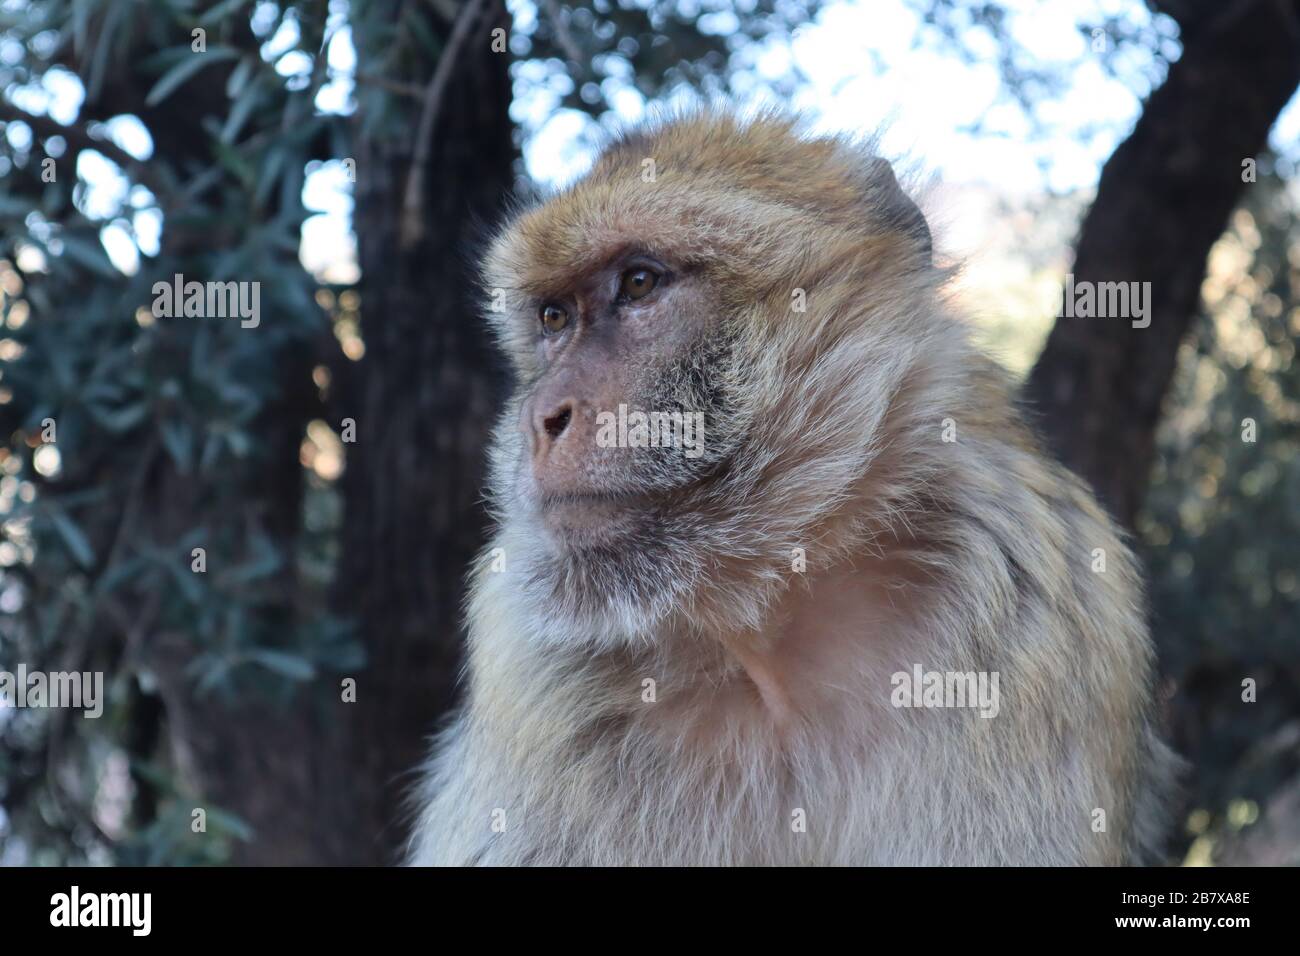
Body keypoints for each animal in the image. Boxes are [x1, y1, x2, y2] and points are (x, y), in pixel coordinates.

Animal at [407, 110, 1179, 866]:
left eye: (640, 283)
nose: (542, 418)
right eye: (554, 318)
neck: (765, 628)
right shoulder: (532, 670)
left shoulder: (1038, 611)